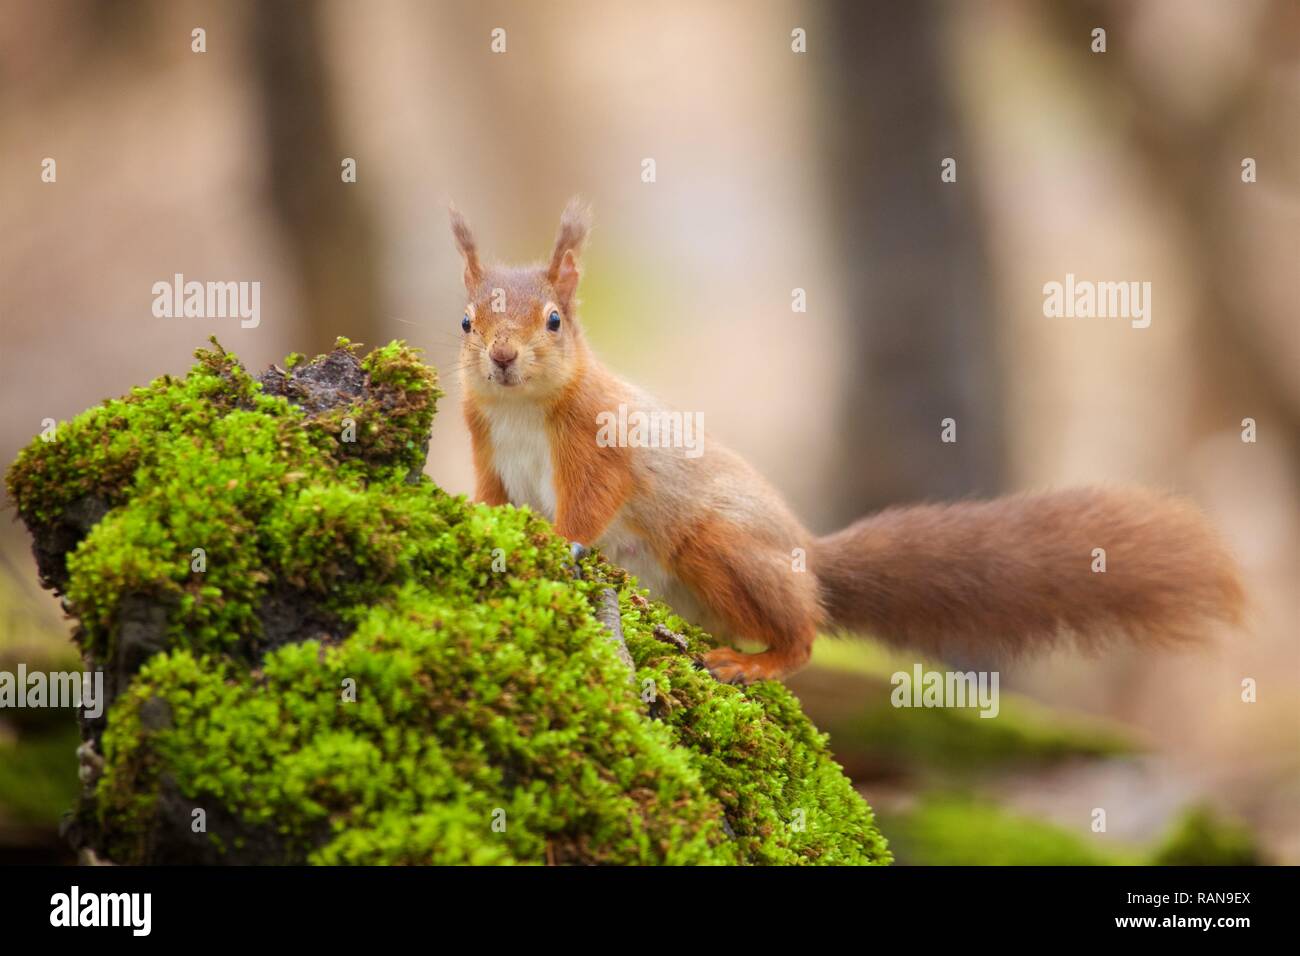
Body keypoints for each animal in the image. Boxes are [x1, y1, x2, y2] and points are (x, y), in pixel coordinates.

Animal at [449, 199, 1246, 684]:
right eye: (466, 322)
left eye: (554, 321)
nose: (502, 357)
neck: (522, 411)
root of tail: (809, 557)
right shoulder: (485, 443)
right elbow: (491, 495)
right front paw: (488, 524)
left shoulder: (600, 437)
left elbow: (595, 499)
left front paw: (561, 541)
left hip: (723, 547)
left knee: (804, 633)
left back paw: (758, 663)